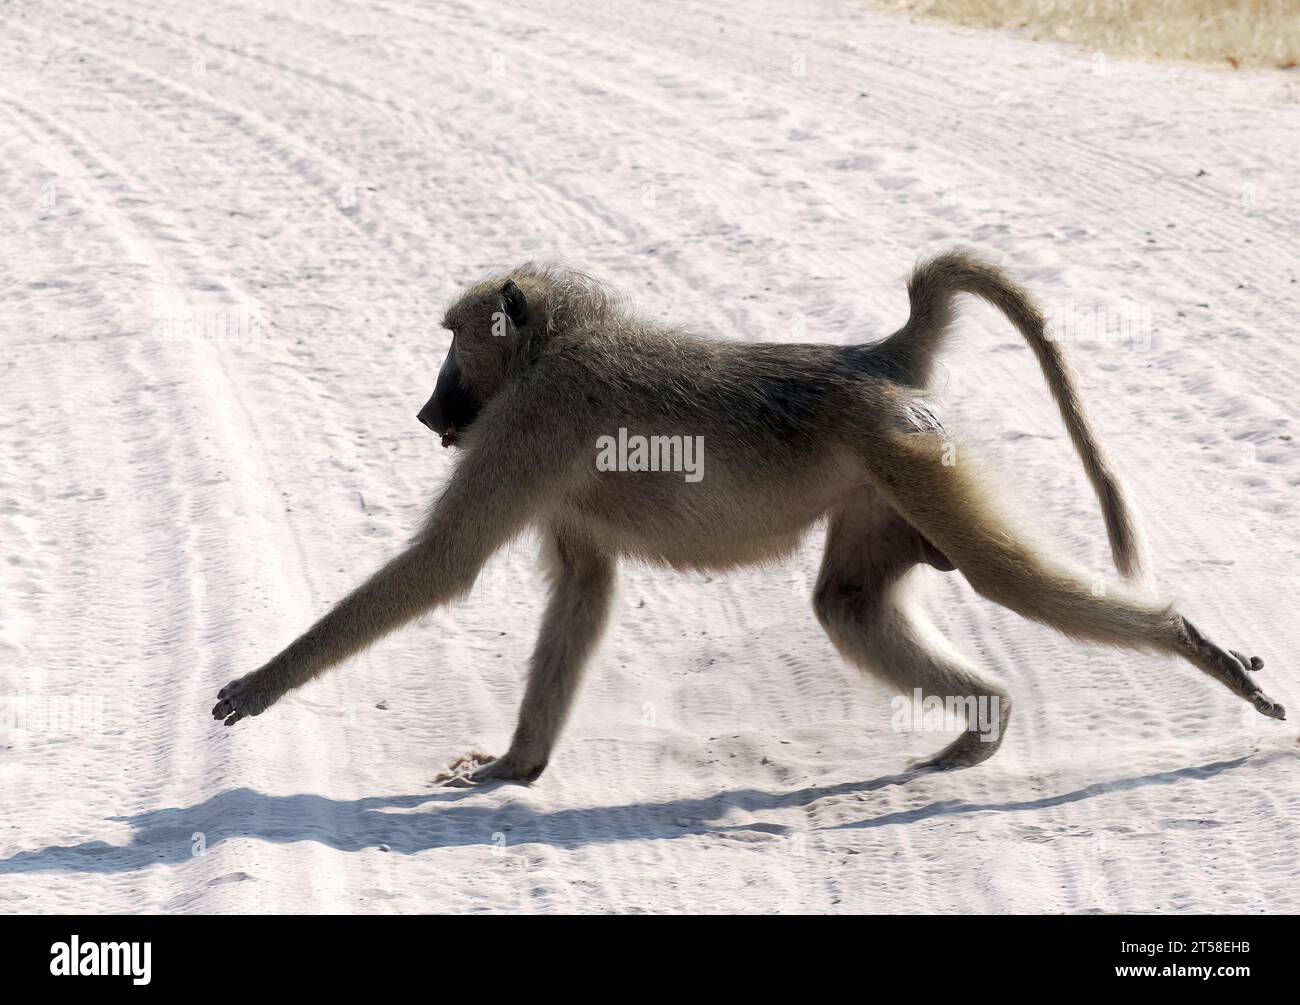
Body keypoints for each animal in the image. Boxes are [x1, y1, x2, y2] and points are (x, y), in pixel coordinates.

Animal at [213, 251, 1285, 783]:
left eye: (452, 342)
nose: (427, 411)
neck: (560, 342)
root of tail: (877, 357)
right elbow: (583, 590)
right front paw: (517, 766)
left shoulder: (532, 421)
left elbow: (443, 565)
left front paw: (257, 685)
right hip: (882, 485)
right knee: (847, 604)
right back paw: (984, 725)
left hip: (910, 456)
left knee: (1000, 576)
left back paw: (1193, 645)